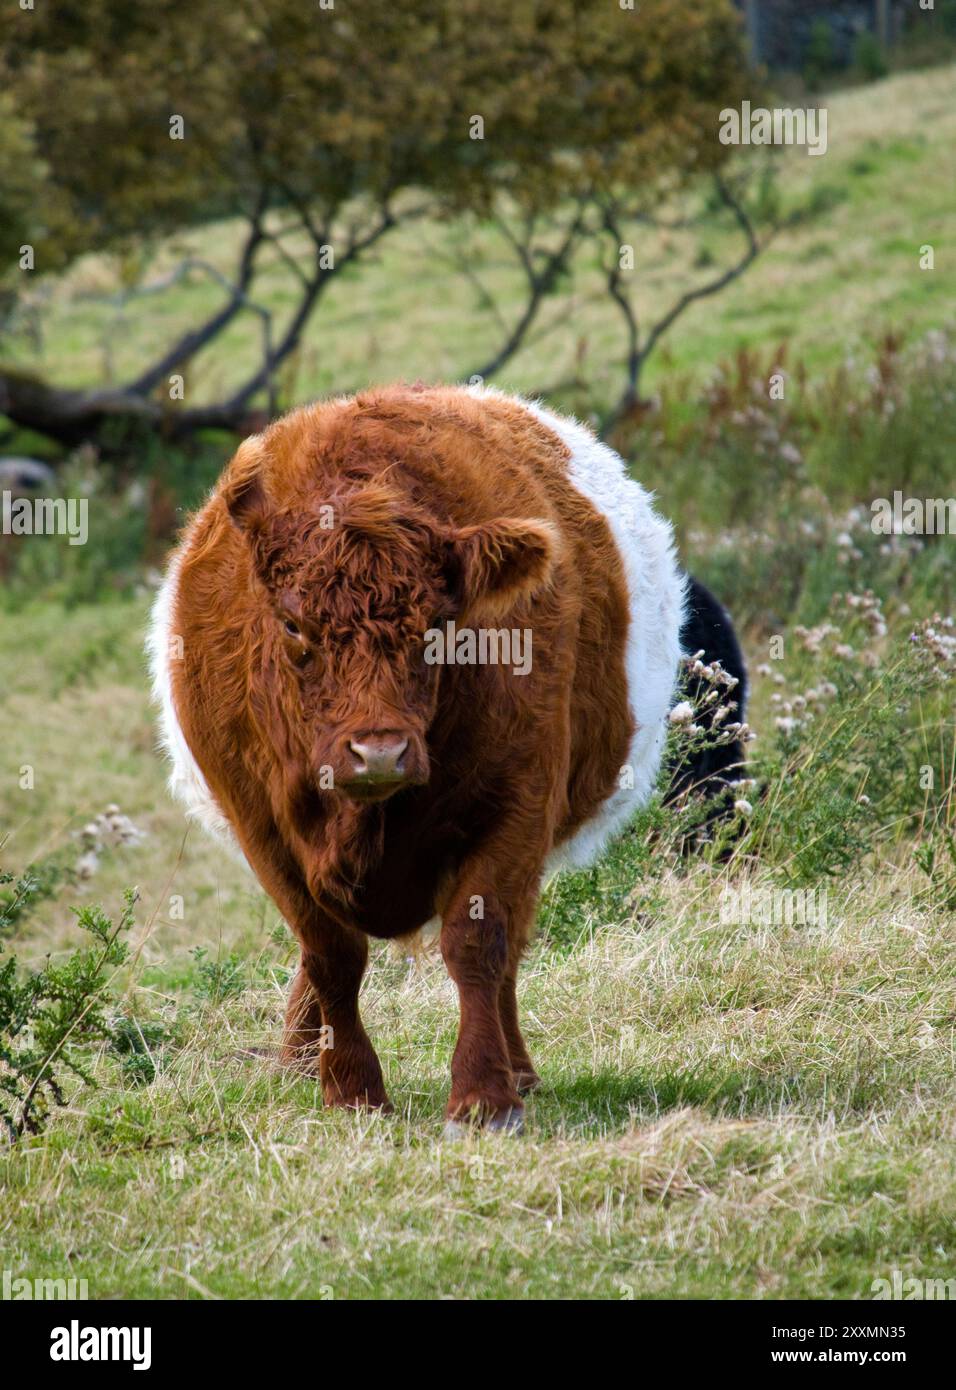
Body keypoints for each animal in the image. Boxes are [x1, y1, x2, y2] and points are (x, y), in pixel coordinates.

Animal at [148, 383, 688, 1134]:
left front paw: (486, 1093)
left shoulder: (517, 803)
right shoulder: (260, 824)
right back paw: (299, 1060)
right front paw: (351, 1088)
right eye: (292, 625)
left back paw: (518, 1069)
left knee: (507, 951)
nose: (379, 750)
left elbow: (478, 943)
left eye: (438, 627)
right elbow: (331, 954)